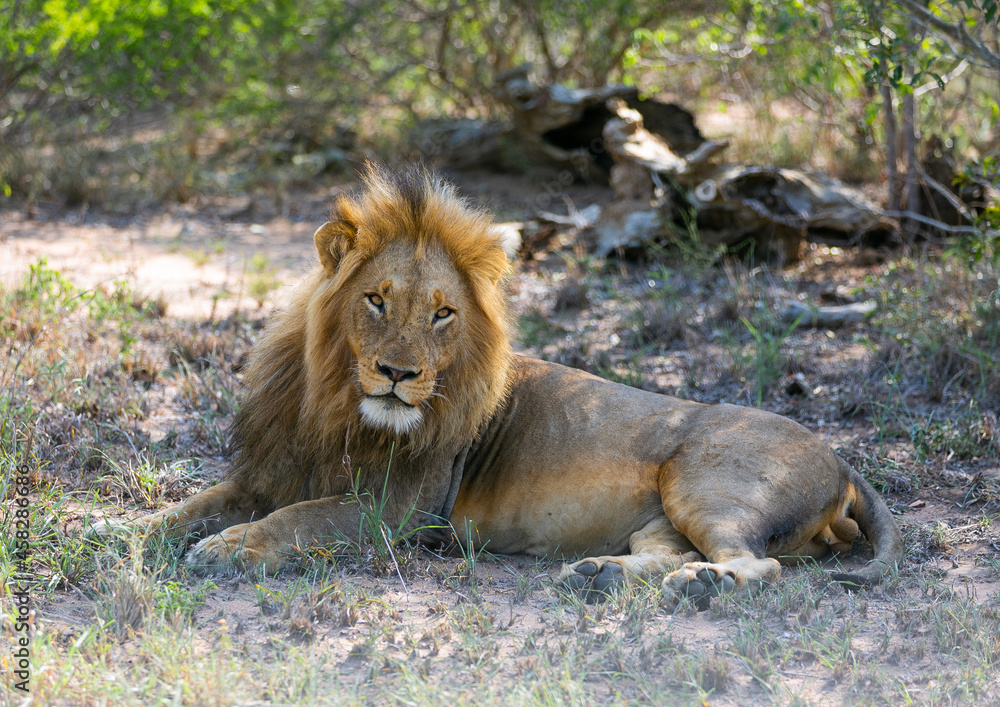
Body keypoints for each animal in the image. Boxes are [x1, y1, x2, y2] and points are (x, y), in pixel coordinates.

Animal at [92, 164, 903, 607]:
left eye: (443, 314)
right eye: (376, 300)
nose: (398, 374)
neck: (334, 405)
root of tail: (843, 459)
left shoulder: (398, 510)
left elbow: (297, 520)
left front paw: (227, 549)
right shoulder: (268, 471)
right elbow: (186, 507)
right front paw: (116, 532)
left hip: (706, 484)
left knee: (758, 563)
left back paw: (703, 588)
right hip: (663, 517)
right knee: (674, 553)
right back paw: (599, 574)